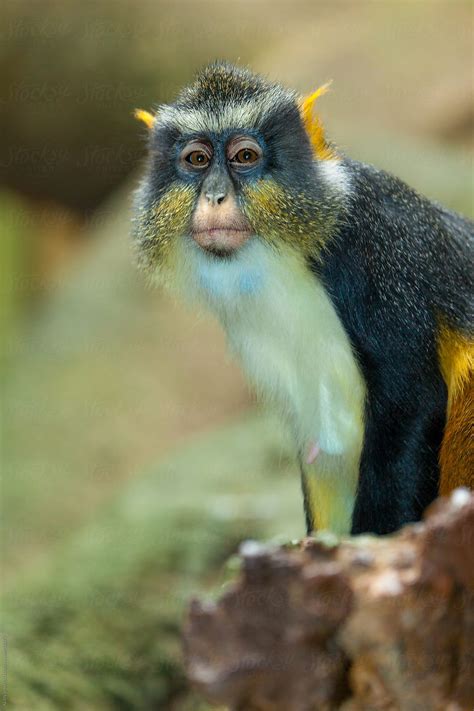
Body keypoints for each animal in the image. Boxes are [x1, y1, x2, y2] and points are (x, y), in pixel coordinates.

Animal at [132, 61, 473, 536]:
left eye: (244, 157)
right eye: (196, 160)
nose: (215, 196)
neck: (287, 252)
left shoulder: (377, 248)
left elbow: (410, 402)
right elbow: (323, 451)